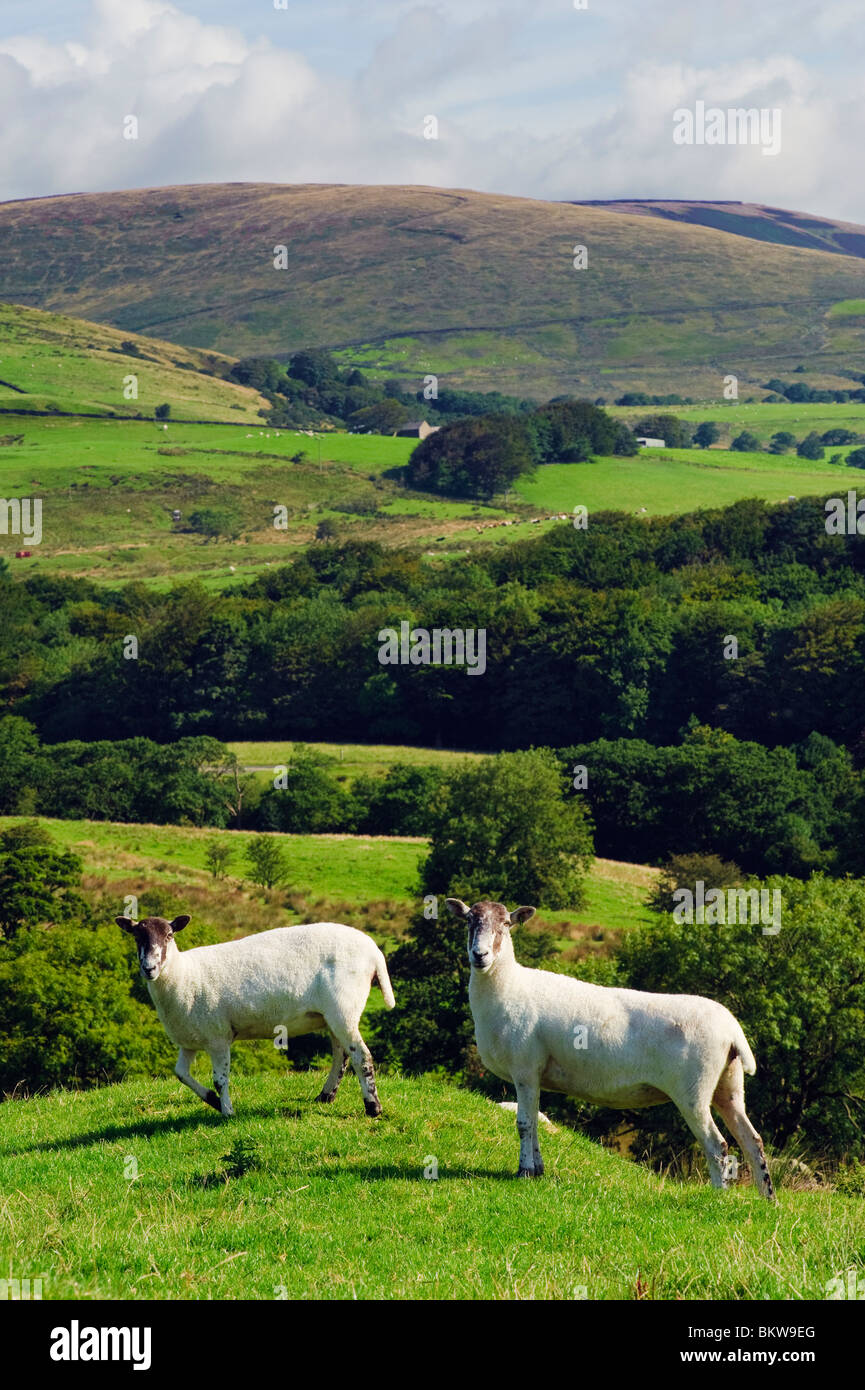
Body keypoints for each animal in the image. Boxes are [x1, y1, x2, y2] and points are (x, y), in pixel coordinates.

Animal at [116, 914, 394, 1118]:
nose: (149, 968)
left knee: (361, 1055)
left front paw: (227, 1112)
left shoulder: (218, 1037)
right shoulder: (190, 1041)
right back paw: (325, 1097)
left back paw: (373, 1107)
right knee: (341, 1054)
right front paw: (213, 1101)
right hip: (332, 1014)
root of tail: (374, 951)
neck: (184, 975)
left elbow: (220, 1079)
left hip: (344, 1007)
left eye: (169, 935)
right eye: (136, 937)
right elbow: (180, 1074)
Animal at [445, 898, 774, 1198]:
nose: (479, 955)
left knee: (718, 1144)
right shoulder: (536, 1076)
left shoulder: (525, 1068)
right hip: (728, 1086)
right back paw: (767, 1200)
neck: (508, 986)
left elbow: (524, 1123)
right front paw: (537, 1170)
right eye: (470, 921)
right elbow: (536, 1123)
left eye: (506, 924)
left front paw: (524, 1172)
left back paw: (719, 1197)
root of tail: (732, 1029)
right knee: (752, 1140)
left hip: (693, 1090)